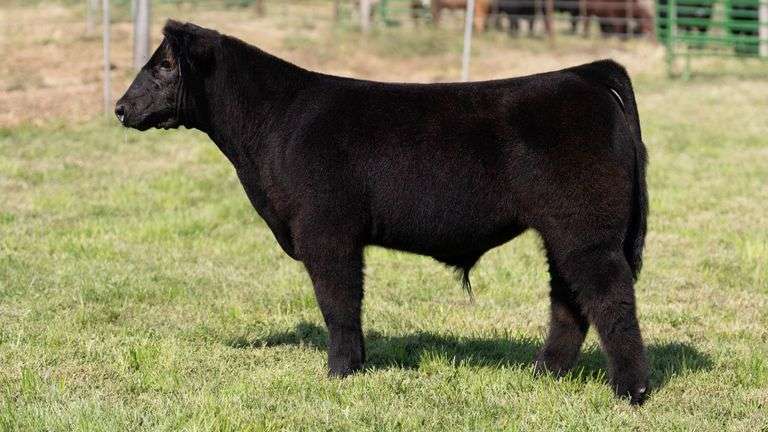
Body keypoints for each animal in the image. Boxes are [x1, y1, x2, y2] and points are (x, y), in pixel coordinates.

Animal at [115, 20, 651, 404]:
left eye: (165, 66)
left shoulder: (325, 232)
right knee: (569, 301)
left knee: (610, 298)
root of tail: (583, 74)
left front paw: (340, 371)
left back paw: (631, 391)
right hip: (562, 233)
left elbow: (338, 303)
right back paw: (543, 372)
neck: (274, 125)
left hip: (586, 232)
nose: (120, 107)